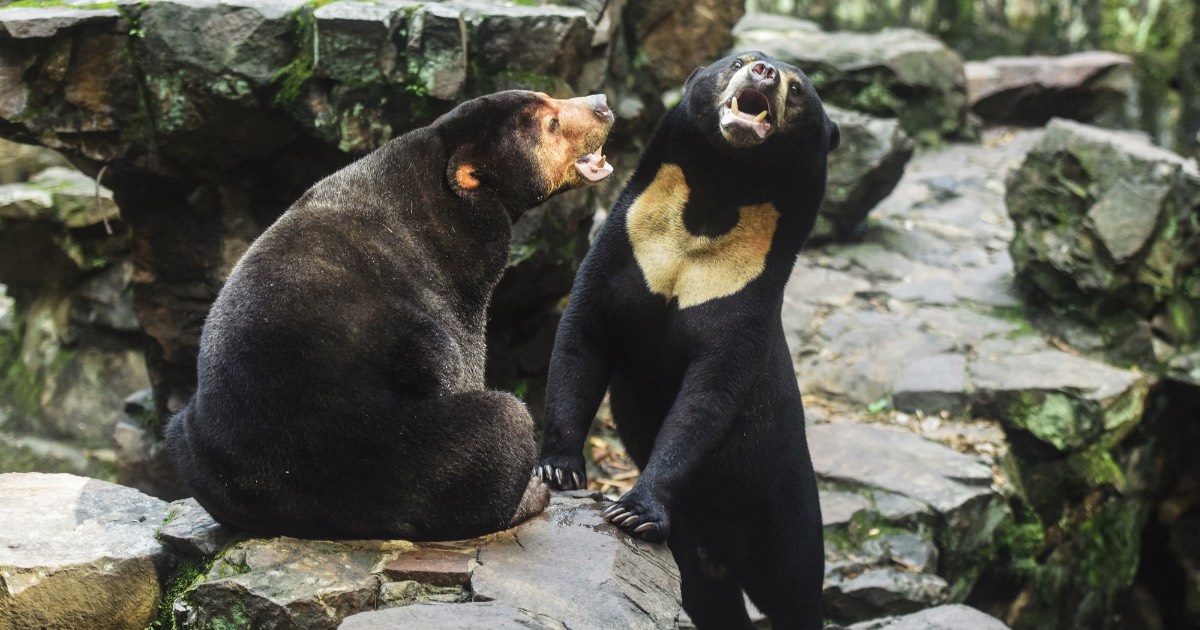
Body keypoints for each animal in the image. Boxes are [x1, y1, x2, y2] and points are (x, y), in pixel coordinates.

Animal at [165, 90, 615, 541]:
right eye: (551, 124)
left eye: (550, 98)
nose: (602, 103)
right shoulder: (456, 289)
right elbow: (460, 360)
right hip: (392, 450)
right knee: (501, 426)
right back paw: (529, 496)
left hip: (189, 440)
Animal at [536, 52, 840, 629]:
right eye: (740, 60)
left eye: (799, 89)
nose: (765, 72)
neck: (716, 198)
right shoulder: (624, 250)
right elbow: (582, 339)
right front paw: (557, 469)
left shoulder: (744, 294)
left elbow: (707, 397)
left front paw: (633, 512)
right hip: (699, 551)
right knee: (707, 595)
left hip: (782, 507)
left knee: (795, 590)